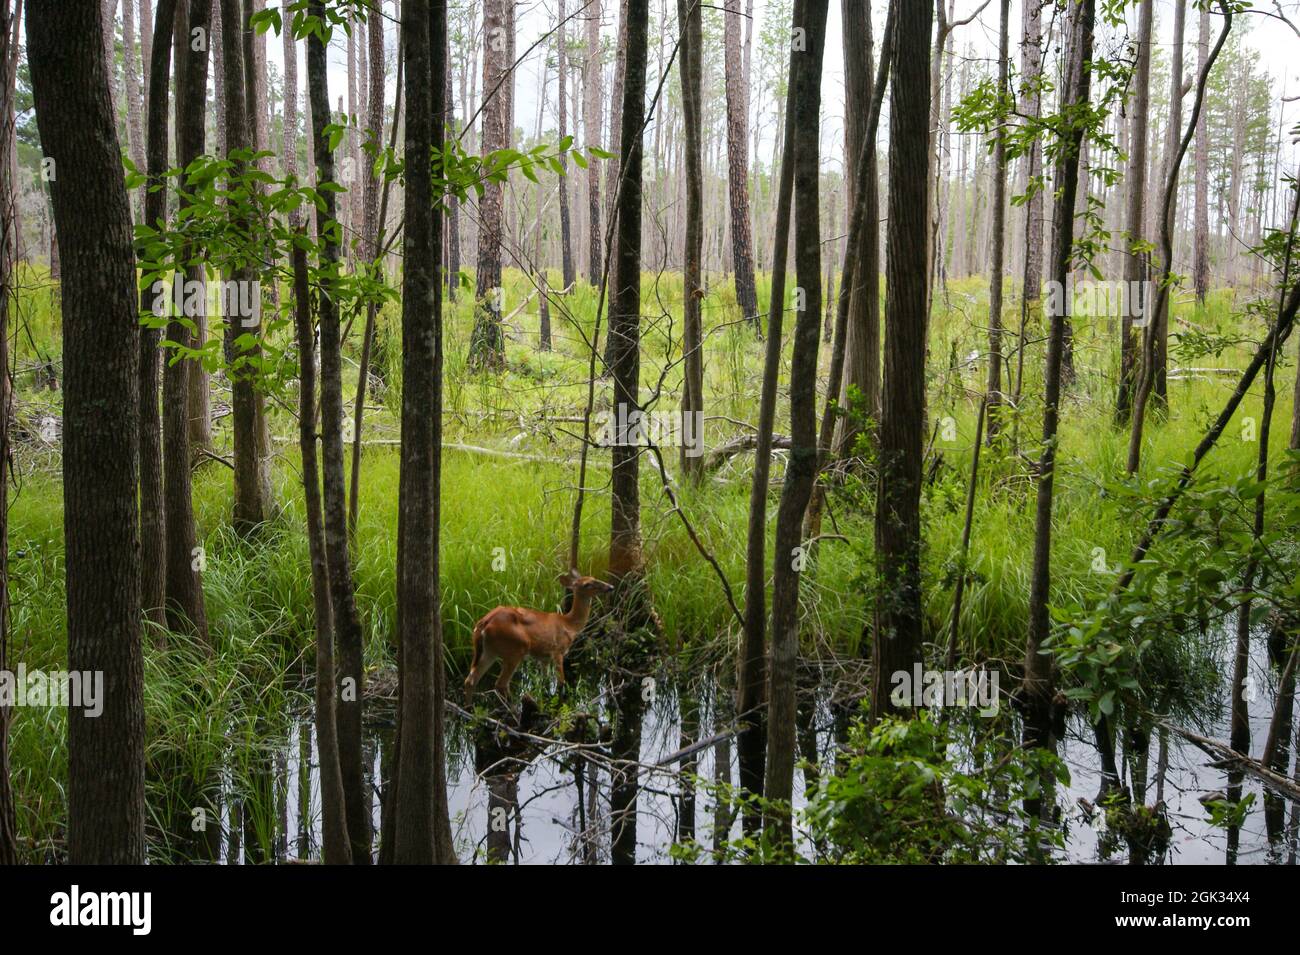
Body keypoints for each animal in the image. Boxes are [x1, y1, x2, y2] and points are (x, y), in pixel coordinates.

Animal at [464, 569, 615, 702]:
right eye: (587, 584)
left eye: (594, 577)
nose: (611, 587)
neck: (569, 625)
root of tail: (484, 622)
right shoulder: (557, 651)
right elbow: (561, 683)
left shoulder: (544, 657)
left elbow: (545, 681)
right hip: (516, 648)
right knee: (500, 684)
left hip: (489, 651)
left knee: (470, 680)